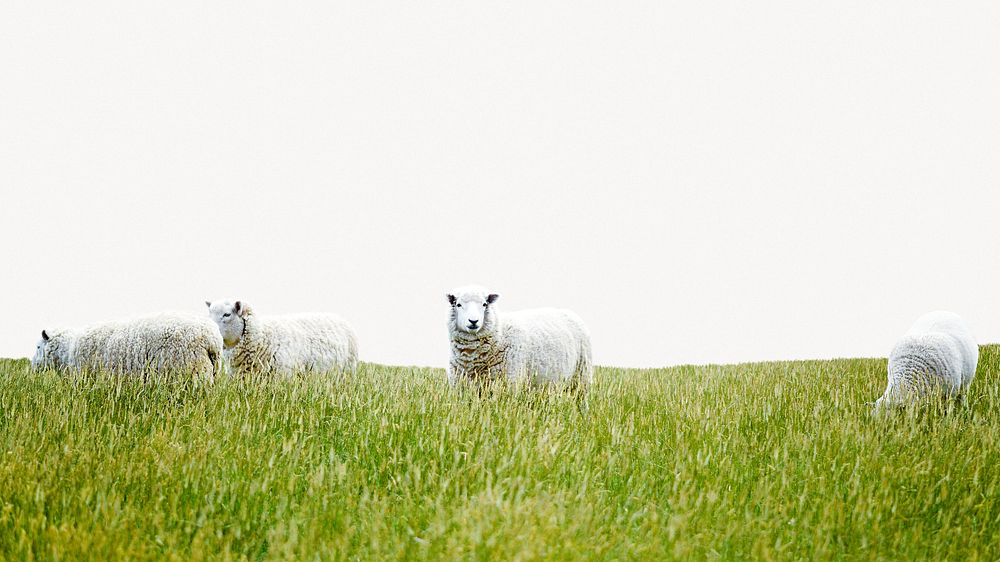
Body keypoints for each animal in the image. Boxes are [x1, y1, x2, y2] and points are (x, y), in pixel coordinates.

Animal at [445, 285, 593, 395]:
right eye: (458, 304)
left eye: (484, 304)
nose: (473, 321)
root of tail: (569, 312)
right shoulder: (462, 388)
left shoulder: (509, 385)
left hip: (581, 378)